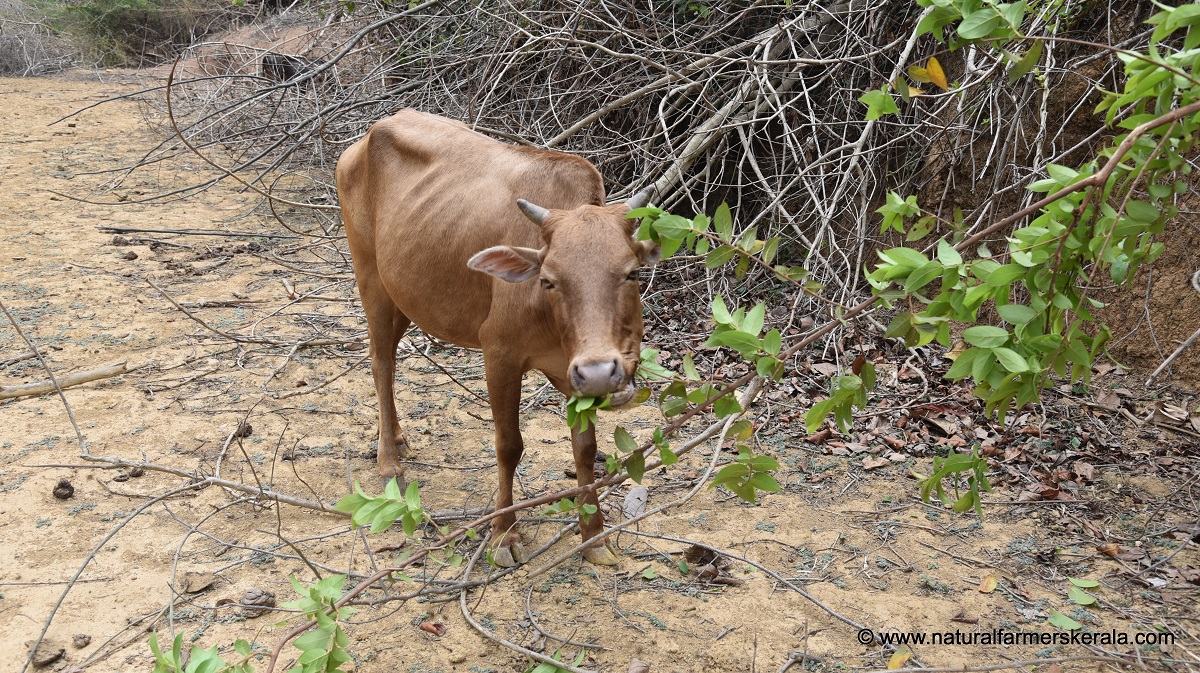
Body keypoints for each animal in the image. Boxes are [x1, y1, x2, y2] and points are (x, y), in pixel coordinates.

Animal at [335, 109, 659, 567]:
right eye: (549, 280)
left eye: (631, 272)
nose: (601, 372)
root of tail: (372, 132)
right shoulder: (499, 355)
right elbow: (509, 446)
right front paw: (504, 534)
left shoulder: (573, 376)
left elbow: (585, 448)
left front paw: (594, 537)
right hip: (370, 278)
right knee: (381, 361)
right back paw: (388, 460)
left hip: (404, 294)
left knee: (390, 357)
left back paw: (396, 436)